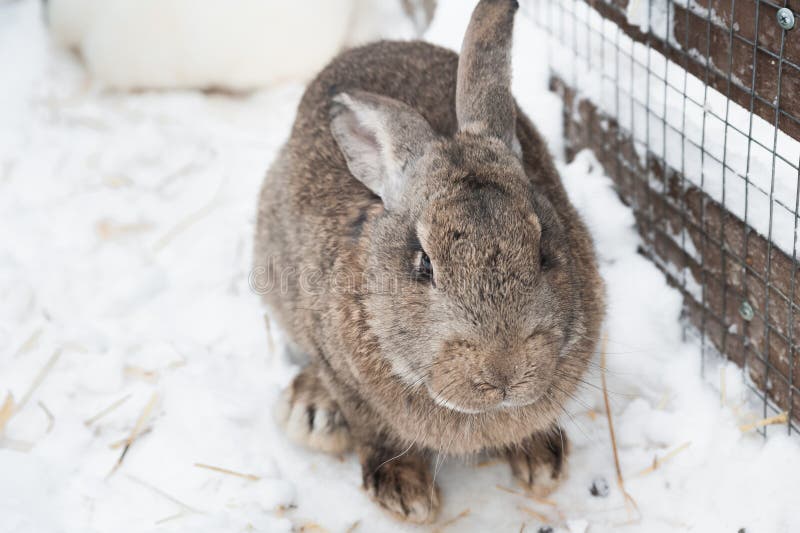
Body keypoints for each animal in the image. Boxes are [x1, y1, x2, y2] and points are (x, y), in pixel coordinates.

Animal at [253, 0, 604, 523]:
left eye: (544, 253)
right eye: (424, 265)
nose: (503, 372)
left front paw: (541, 461)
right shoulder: (343, 372)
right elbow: (376, 432)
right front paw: (407, 495)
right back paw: (312, 413)